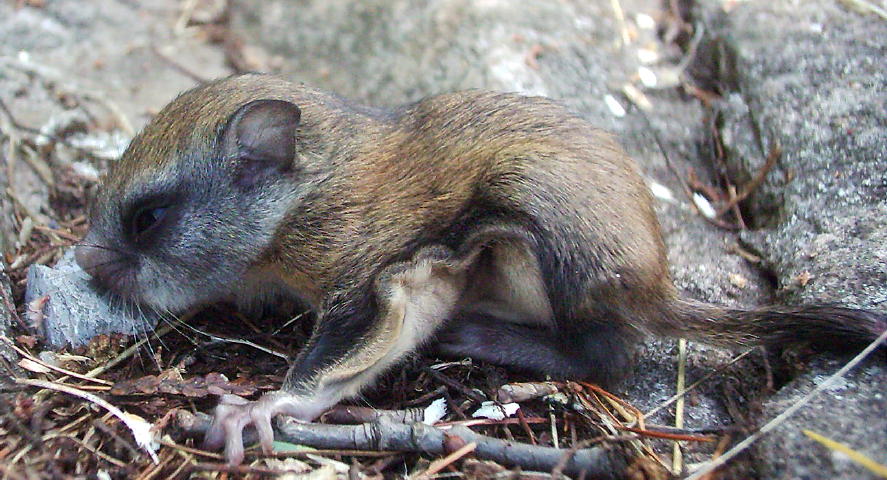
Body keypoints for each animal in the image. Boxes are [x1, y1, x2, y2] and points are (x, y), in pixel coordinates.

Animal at [75, 73, 886, 464]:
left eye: (148, 217)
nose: (81, 260)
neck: (308, 190)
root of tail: (653, 286)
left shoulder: (382, 277)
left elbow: (331, 367)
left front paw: (257, 410)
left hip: (540, 228)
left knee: (608, 353)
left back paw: (494, 338)